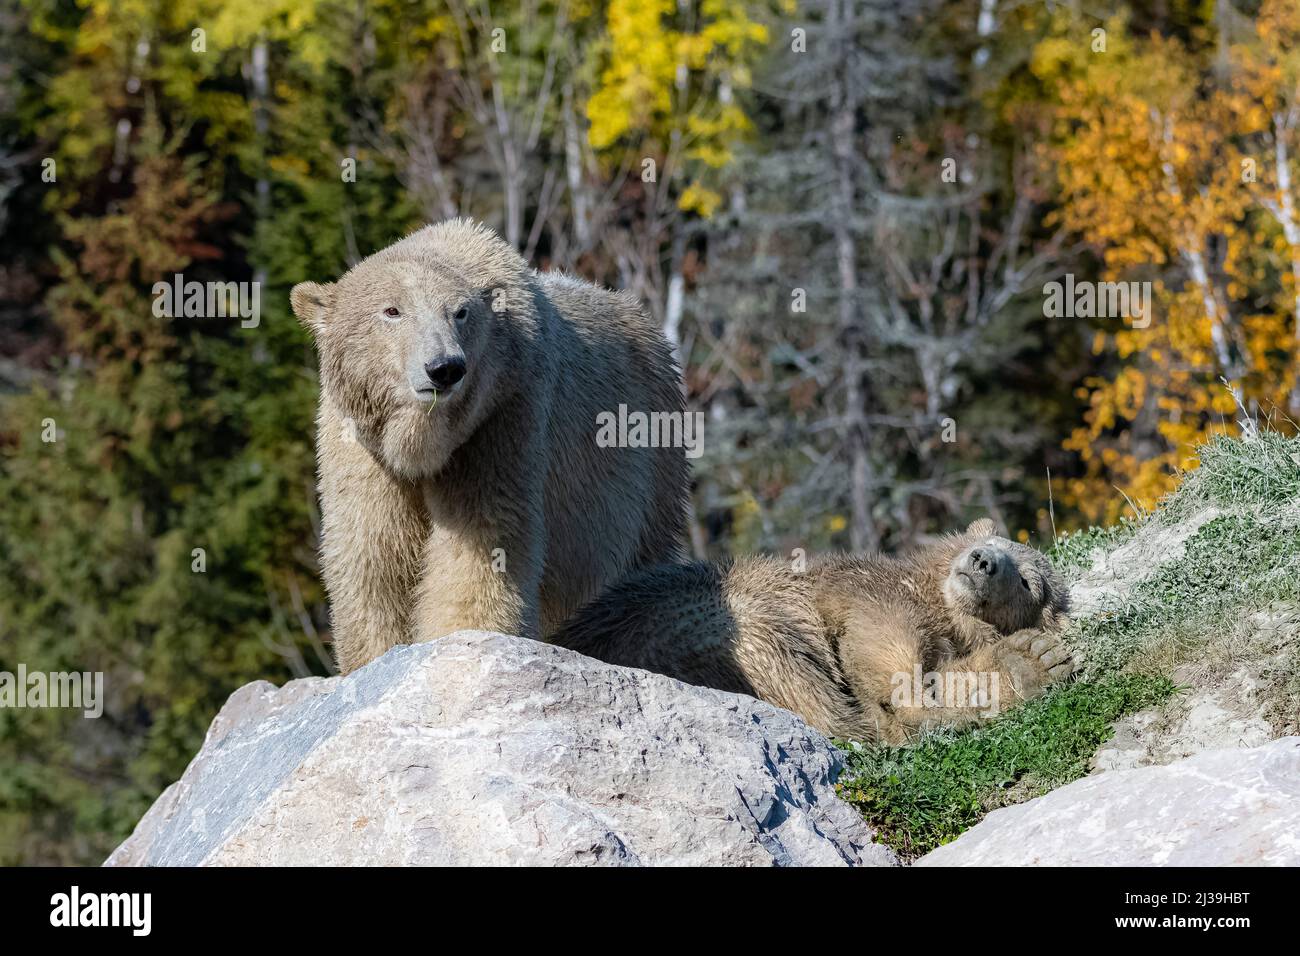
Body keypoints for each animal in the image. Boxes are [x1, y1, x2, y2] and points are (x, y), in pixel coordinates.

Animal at [291, 219, 689, 674]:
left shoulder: (502, 414)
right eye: (392, 310)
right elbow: (373, 552)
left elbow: (482, 544)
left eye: (459, 312)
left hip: (650, 457)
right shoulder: (360, 444)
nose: (445, 368)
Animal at [550, 519, 1073, 743]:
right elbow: (885, 659)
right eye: (988, 540)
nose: (983, 561)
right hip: (720, 623)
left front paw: (1030, 661)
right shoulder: (865, 591)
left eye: (1027, 581)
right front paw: (1020, 664)